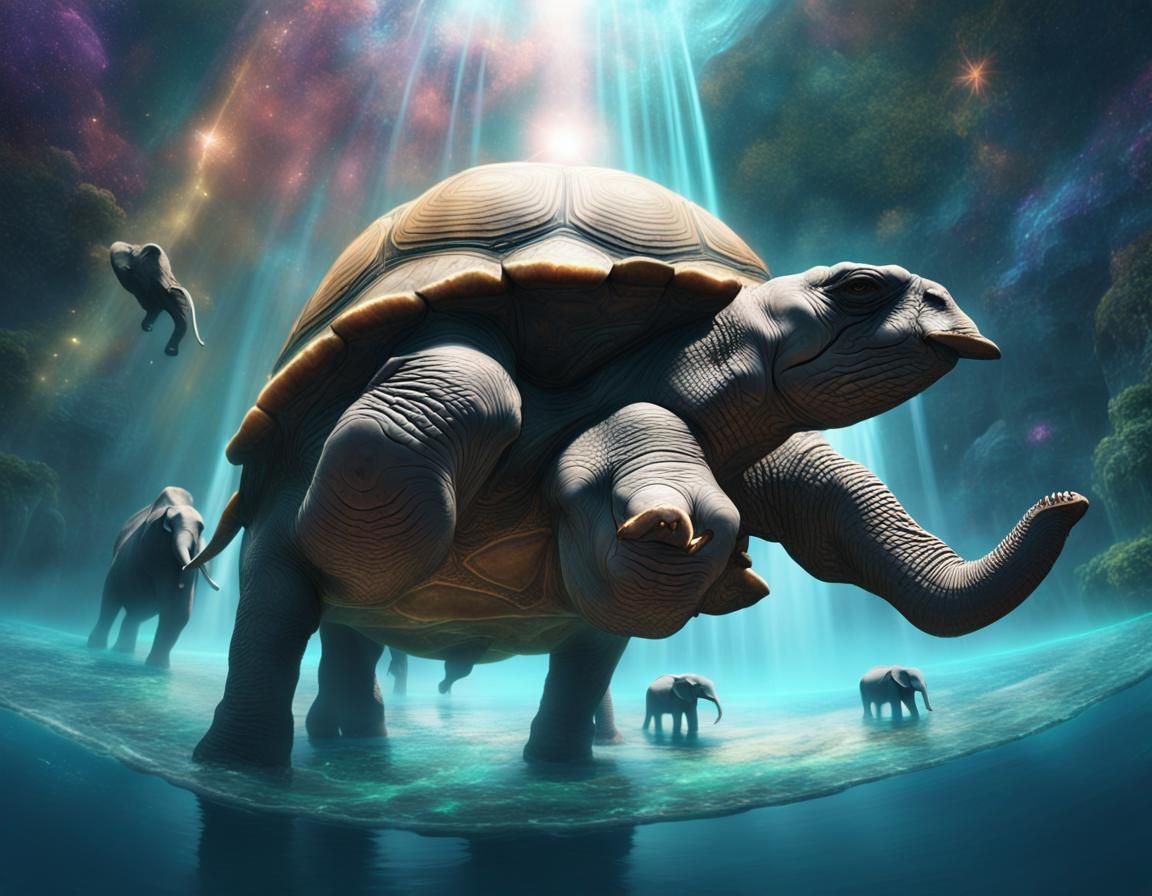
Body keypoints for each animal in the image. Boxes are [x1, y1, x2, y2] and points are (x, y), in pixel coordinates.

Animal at [88, 487, 220, 668]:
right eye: (169, 524)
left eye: (201, 528)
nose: (218, 587)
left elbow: (178, 610)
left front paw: (158, 667)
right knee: (110, 603)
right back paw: (97, 646)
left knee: (133, 615)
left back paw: (123, 651)